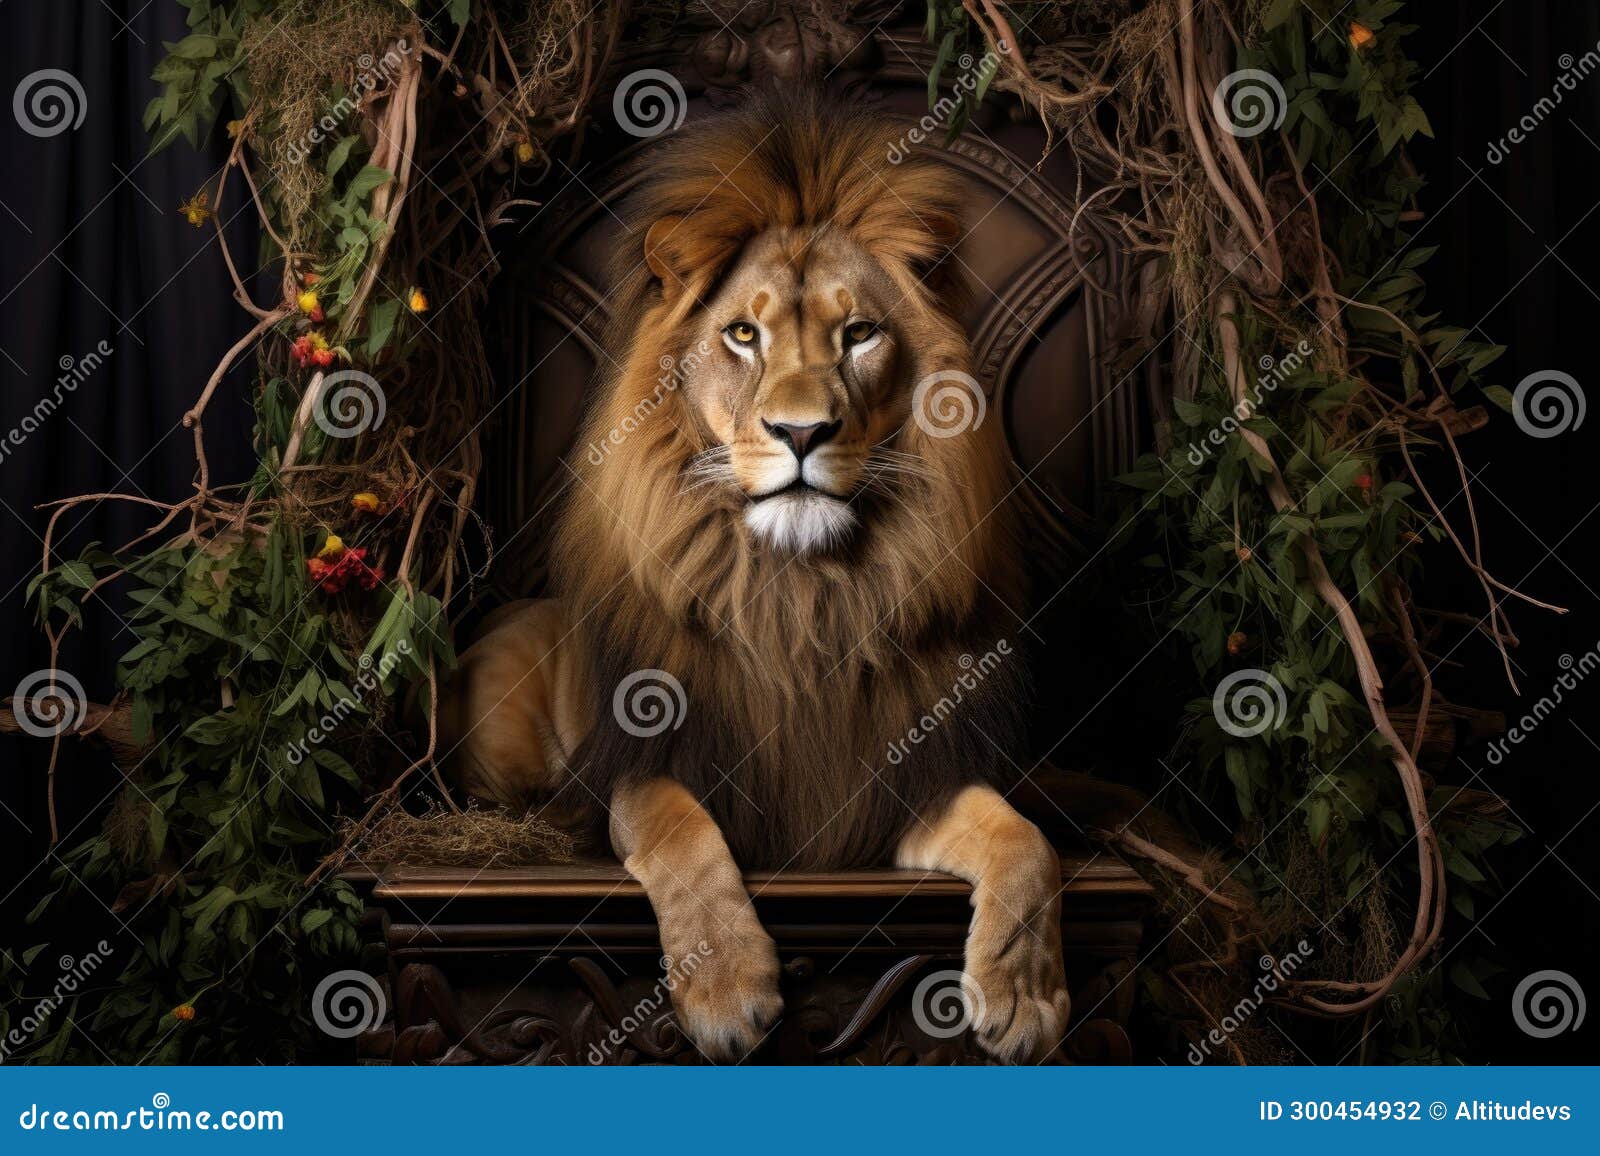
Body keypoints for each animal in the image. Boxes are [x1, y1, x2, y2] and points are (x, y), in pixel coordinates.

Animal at [438, 89, 1070, 1062]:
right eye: (743, 334)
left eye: (860, 334)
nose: (801, 432)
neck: (797, 596)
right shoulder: (648, 762)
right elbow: (675, 828)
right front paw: (728, 989)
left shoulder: (891, 782)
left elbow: (1027, 839)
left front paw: (1024, 992)